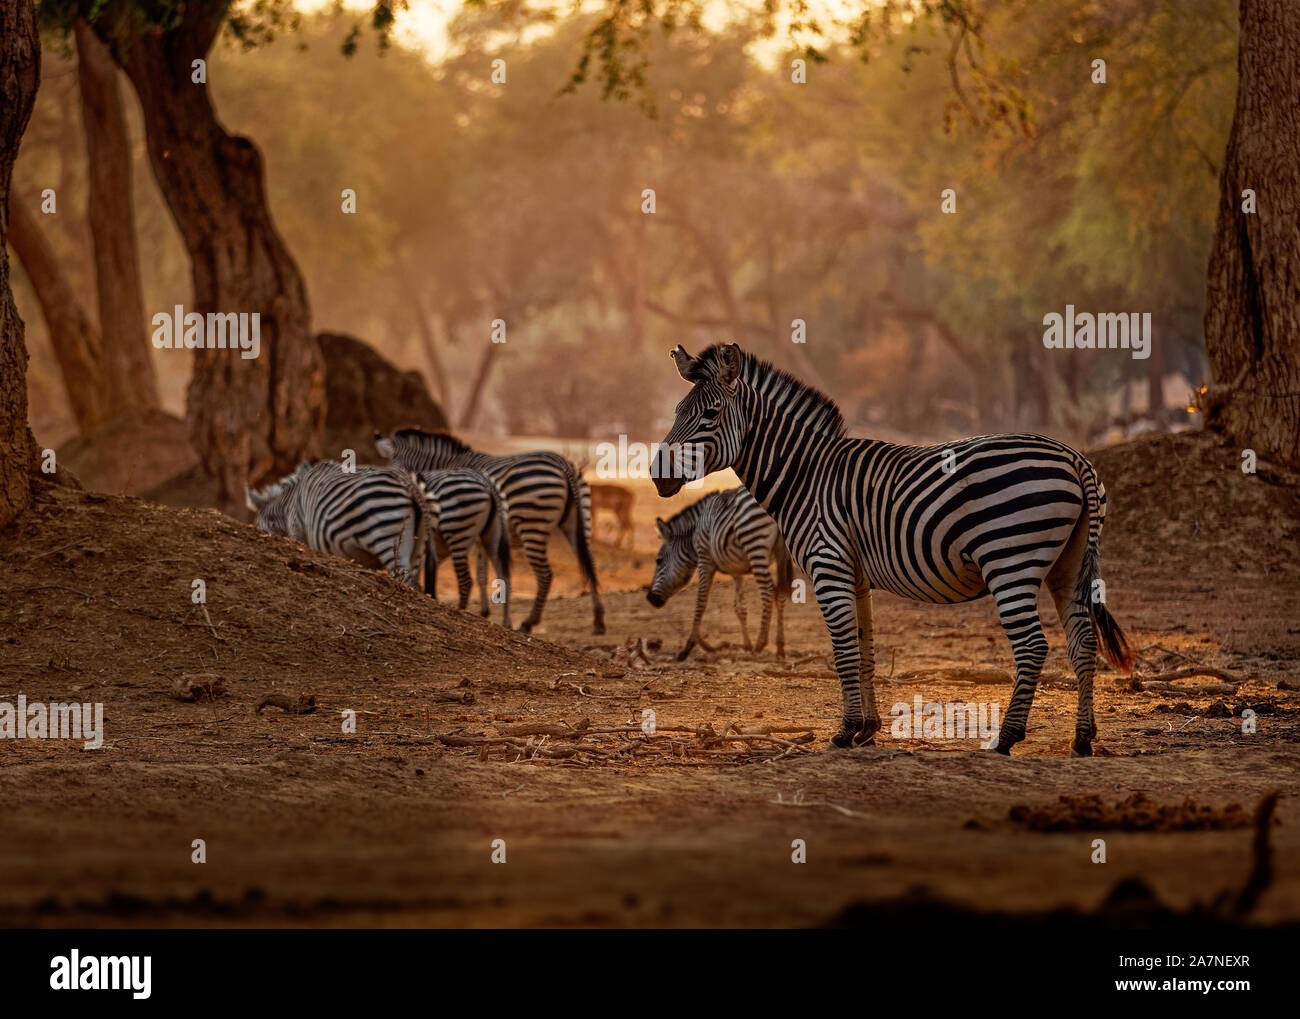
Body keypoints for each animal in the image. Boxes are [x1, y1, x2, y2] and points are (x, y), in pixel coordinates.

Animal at [246, 460, 427, 588]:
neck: (287, 506)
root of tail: (407, 483)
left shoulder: (299, 532)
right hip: (417, 548)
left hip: (385, 537)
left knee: (407, 580)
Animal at [419, 468, 512, 628]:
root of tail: (487, 483)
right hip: (493, 534)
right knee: (504, 577)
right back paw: (506, 623)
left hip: (458, 530)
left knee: (466, 581)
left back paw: (459, 611)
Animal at [648, 487, 792, 661]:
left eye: (659, 560)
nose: (650, 598)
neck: (695, 532)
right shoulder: (736, 569)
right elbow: (740, 607)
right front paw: (747, 645)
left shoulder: (705, 559)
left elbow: (700, 602)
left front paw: (690, 646)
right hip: (779, 551)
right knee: (780, 593)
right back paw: (780, 647)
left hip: (754, 543)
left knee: (768, 590)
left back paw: (761, 643)